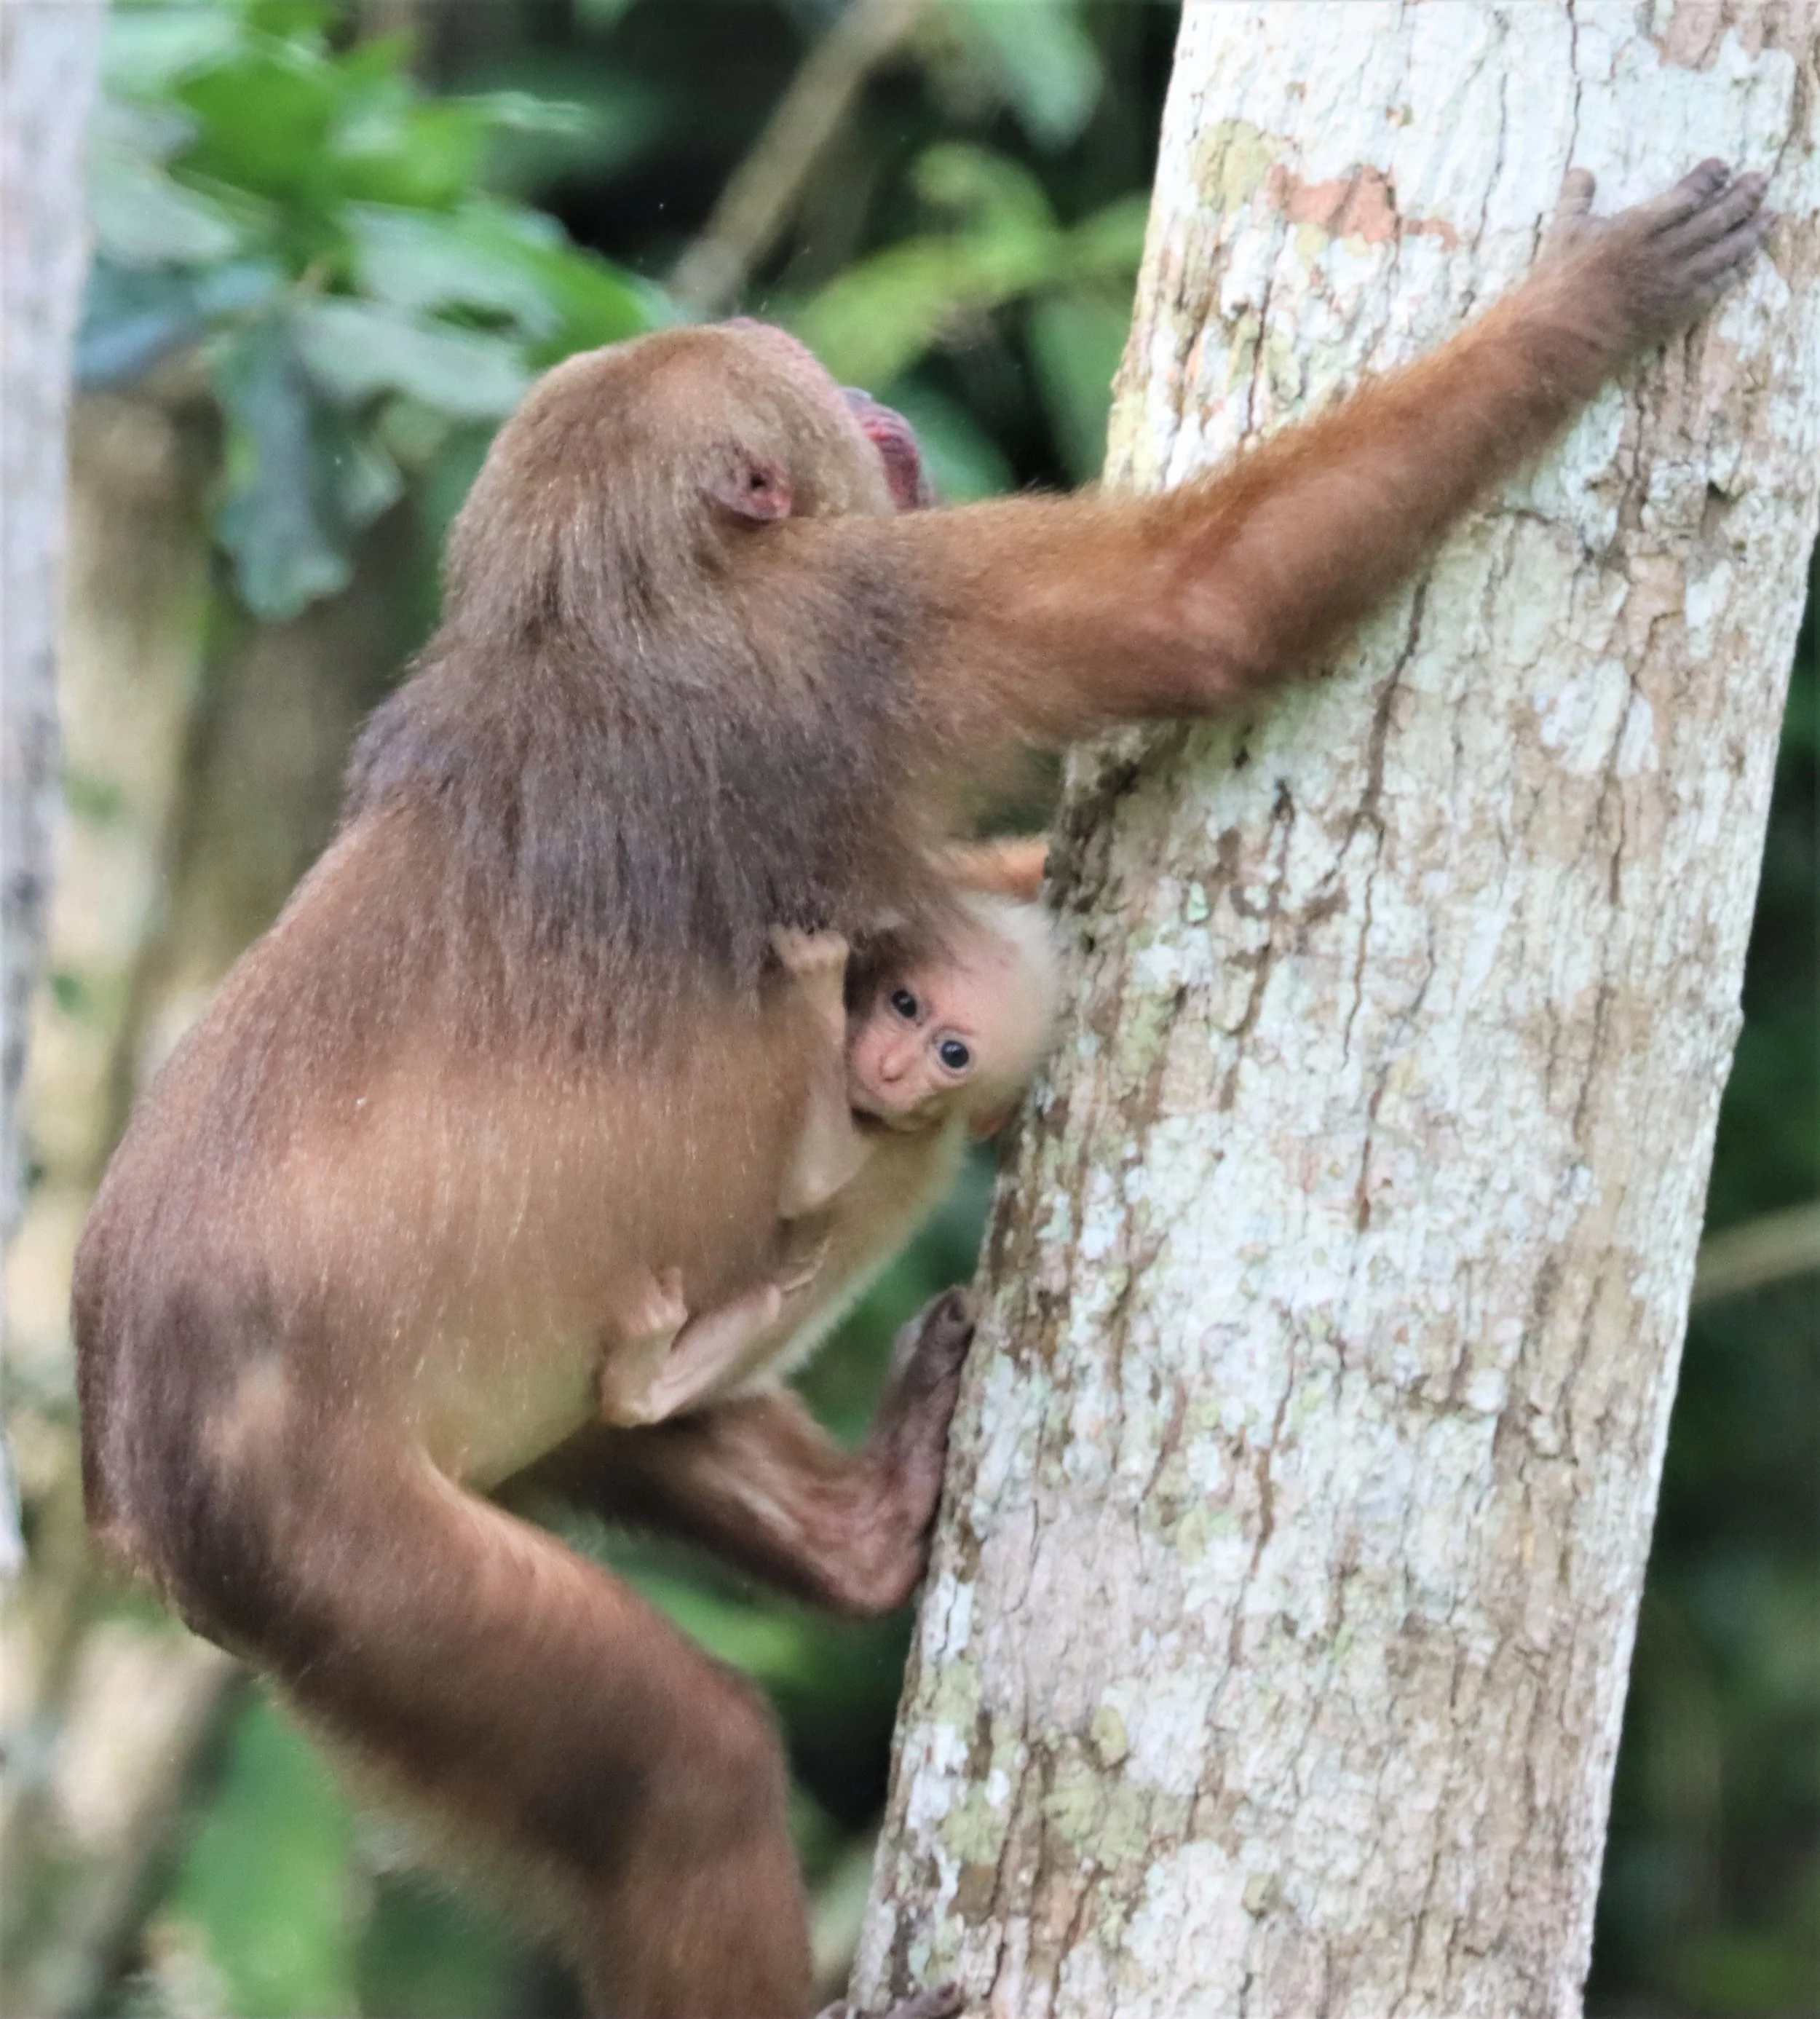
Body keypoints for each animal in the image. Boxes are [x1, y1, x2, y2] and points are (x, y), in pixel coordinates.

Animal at [596, 881, 1061, 1430]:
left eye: (953, 1054)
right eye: (905, 1004)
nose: (891, 1068)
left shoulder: (899, 1144)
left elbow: (811, 1186)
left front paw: (820, 989)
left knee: (762, 1307)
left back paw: (638, 1381)